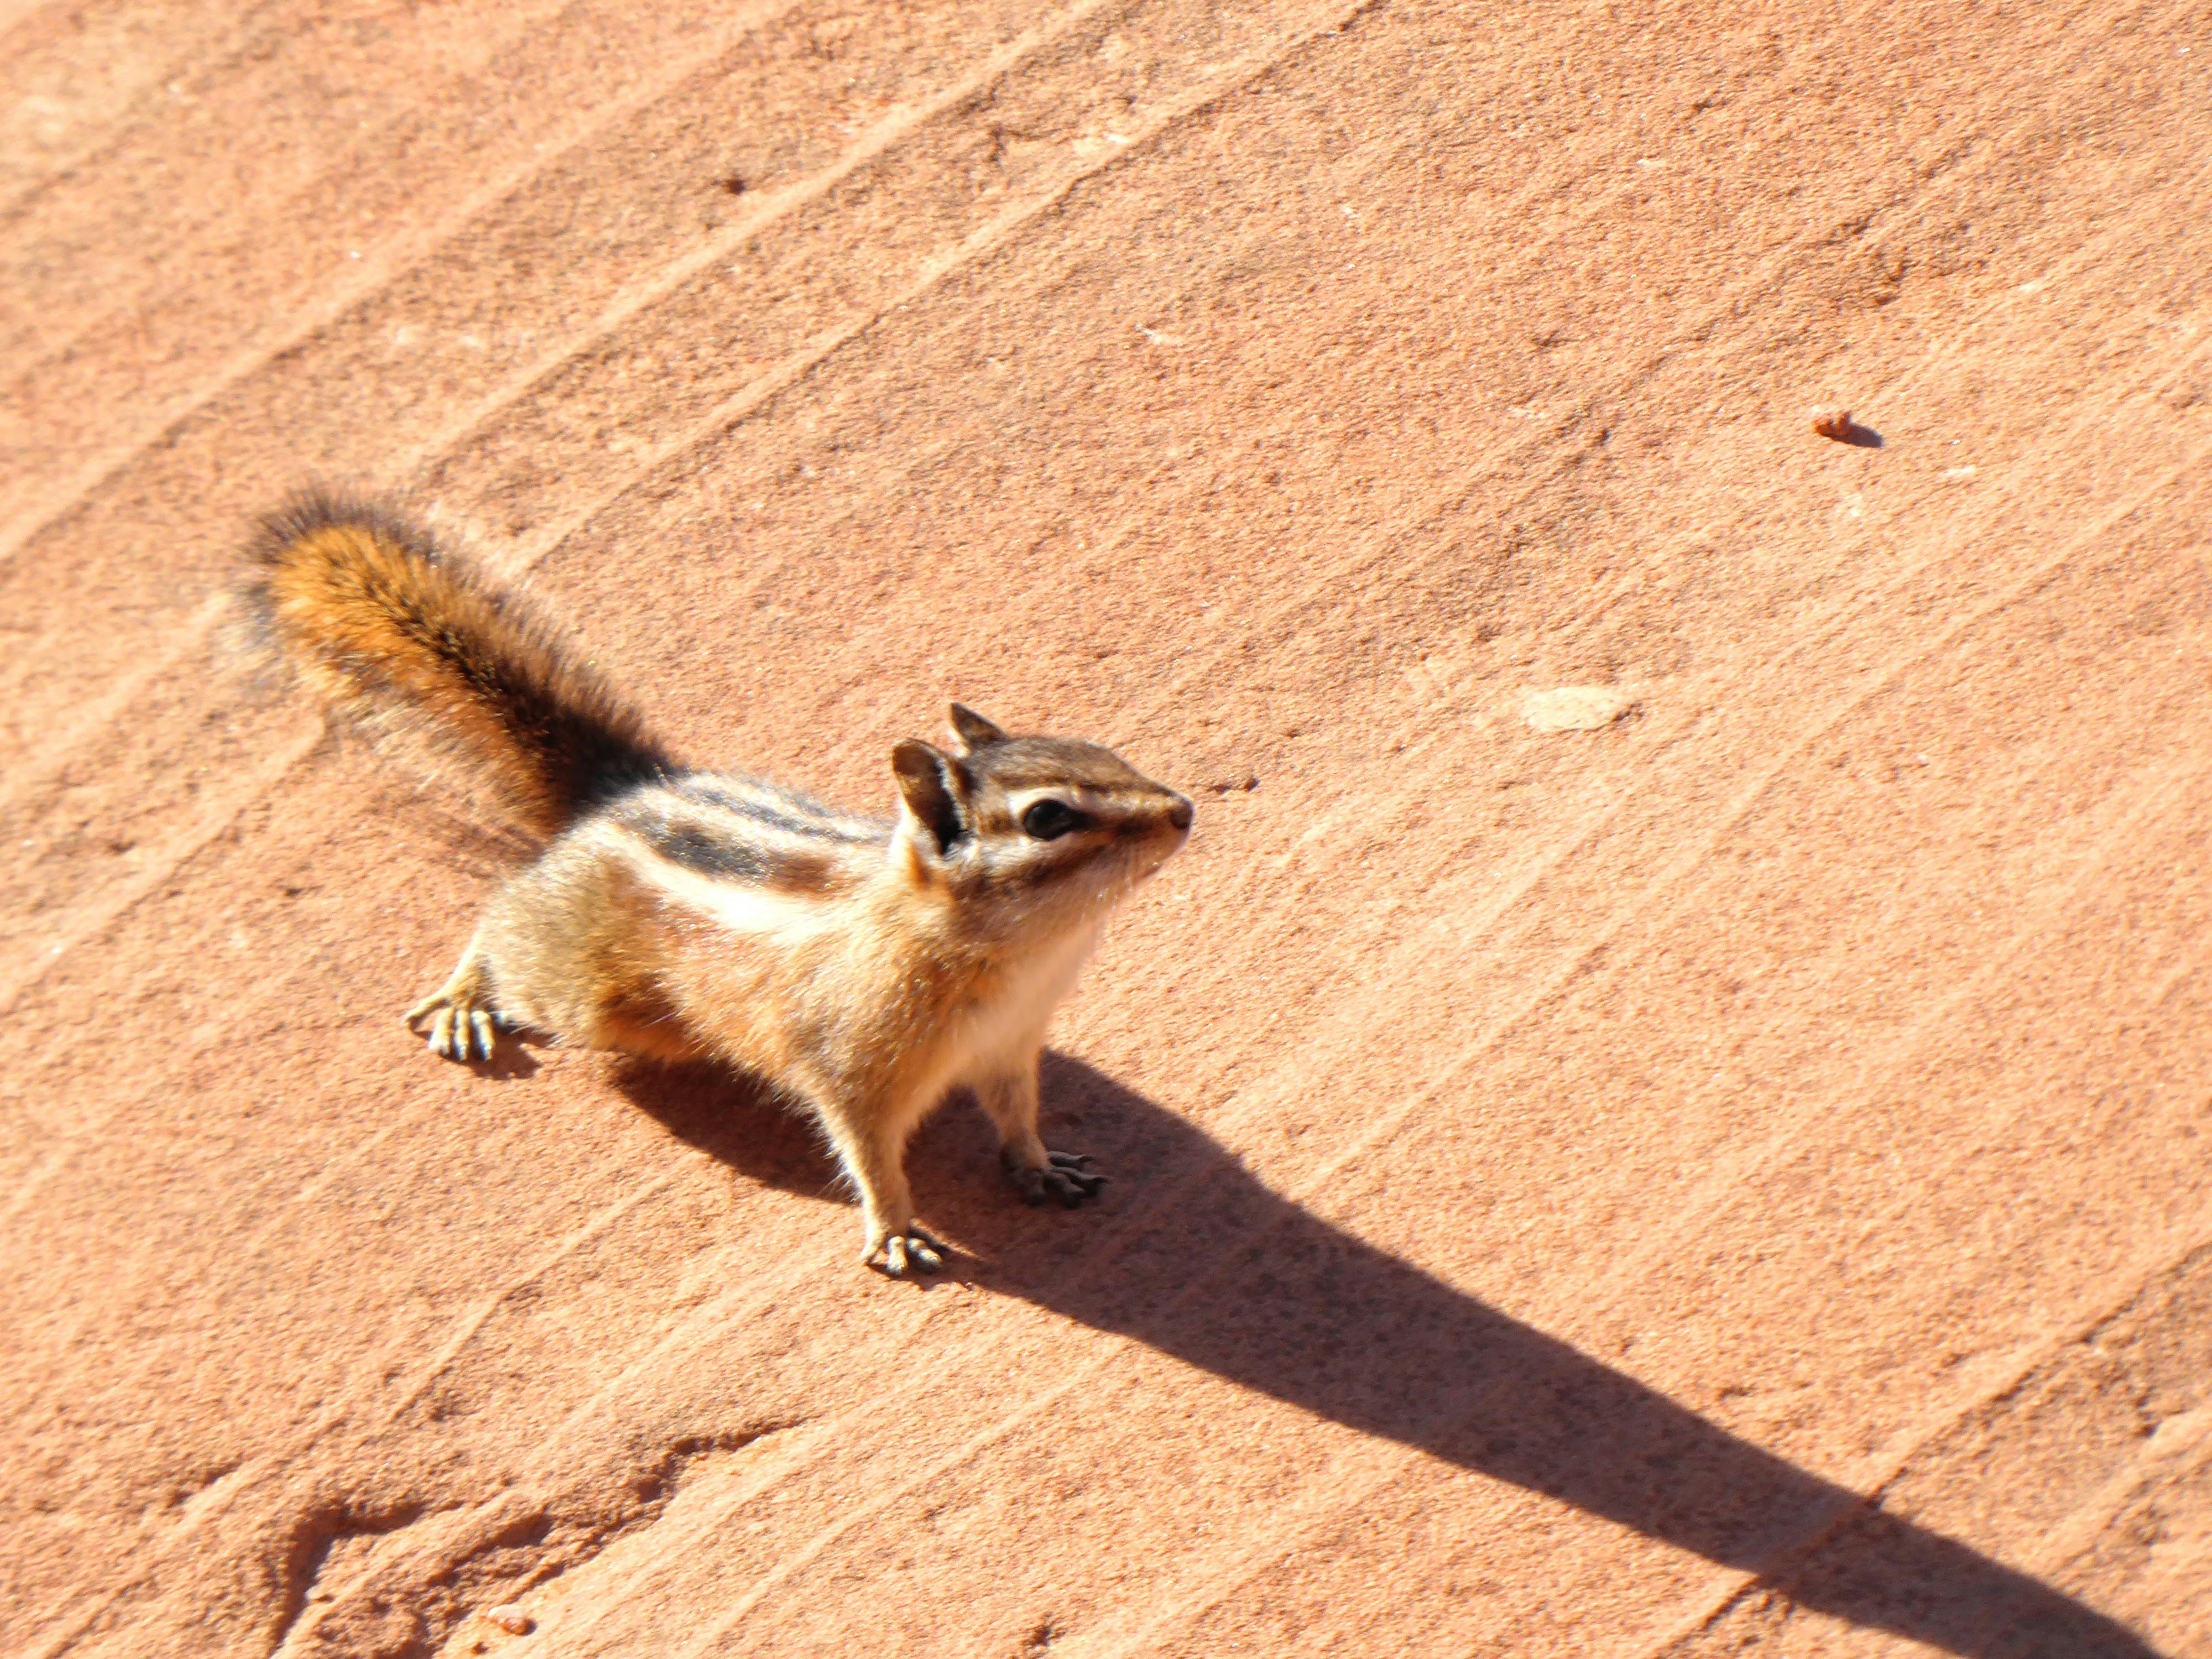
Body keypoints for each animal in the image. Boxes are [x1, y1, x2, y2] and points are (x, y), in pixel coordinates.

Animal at [242, 492, 1193, 1275]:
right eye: (1048, 819)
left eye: (1100, 750)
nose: (1182, 809)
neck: (1019, 953)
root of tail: (618, 794)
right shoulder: (849, 1067)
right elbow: (866, 1153)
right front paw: (893, 1229)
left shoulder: (1009, 1047)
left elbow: (1018, 1116)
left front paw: (1039, 1165)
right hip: (588, 999)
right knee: (501, 921)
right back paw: (466, 997)